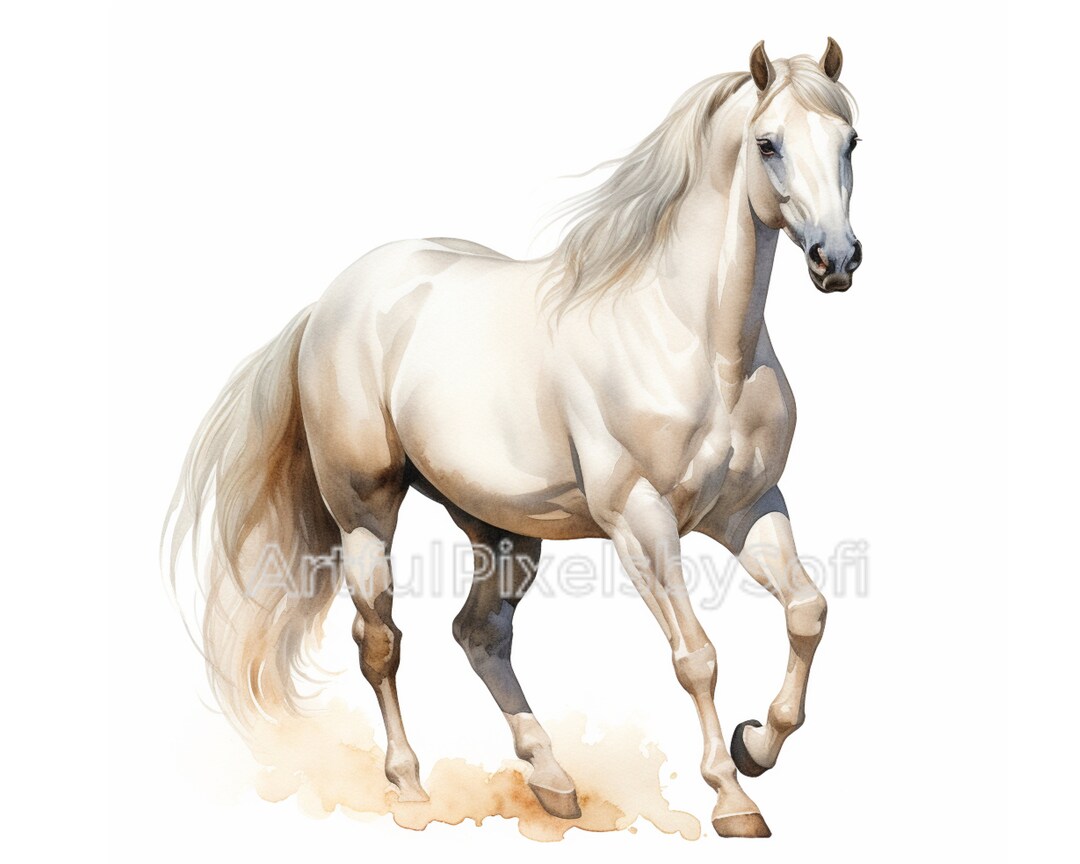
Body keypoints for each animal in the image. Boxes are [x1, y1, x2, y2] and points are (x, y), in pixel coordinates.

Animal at [165, 38, 862, 839]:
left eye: (850, 140)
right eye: (767, 144)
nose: (836, 260)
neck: (695, 345)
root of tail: (331, 303)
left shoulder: (748, 510)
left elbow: (808, 613)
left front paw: (756, 747)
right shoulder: (642, 521)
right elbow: (697, 656)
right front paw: (732, 797)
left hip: (500, 528)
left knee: (480, 635)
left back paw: (554, 782)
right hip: (365, 511)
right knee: (381, 643)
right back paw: (410, 790)